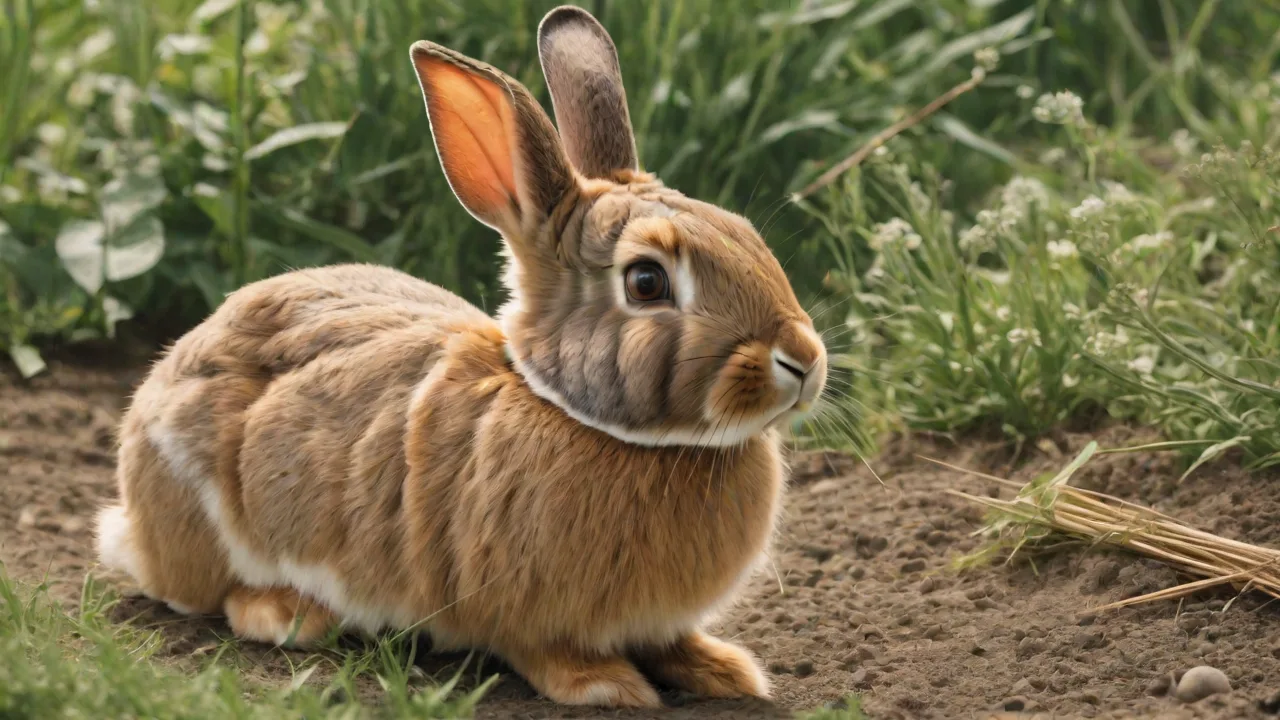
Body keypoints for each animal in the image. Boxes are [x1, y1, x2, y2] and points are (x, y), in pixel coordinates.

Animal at [94, 5, 827, 709]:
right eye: (646, 282)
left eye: (744, 234)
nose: (804, 359)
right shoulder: (522, 611)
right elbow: (546, 652)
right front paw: (607, 687)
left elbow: (674, 642)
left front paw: (725, 671)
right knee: (217, 594)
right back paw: (288, 613)